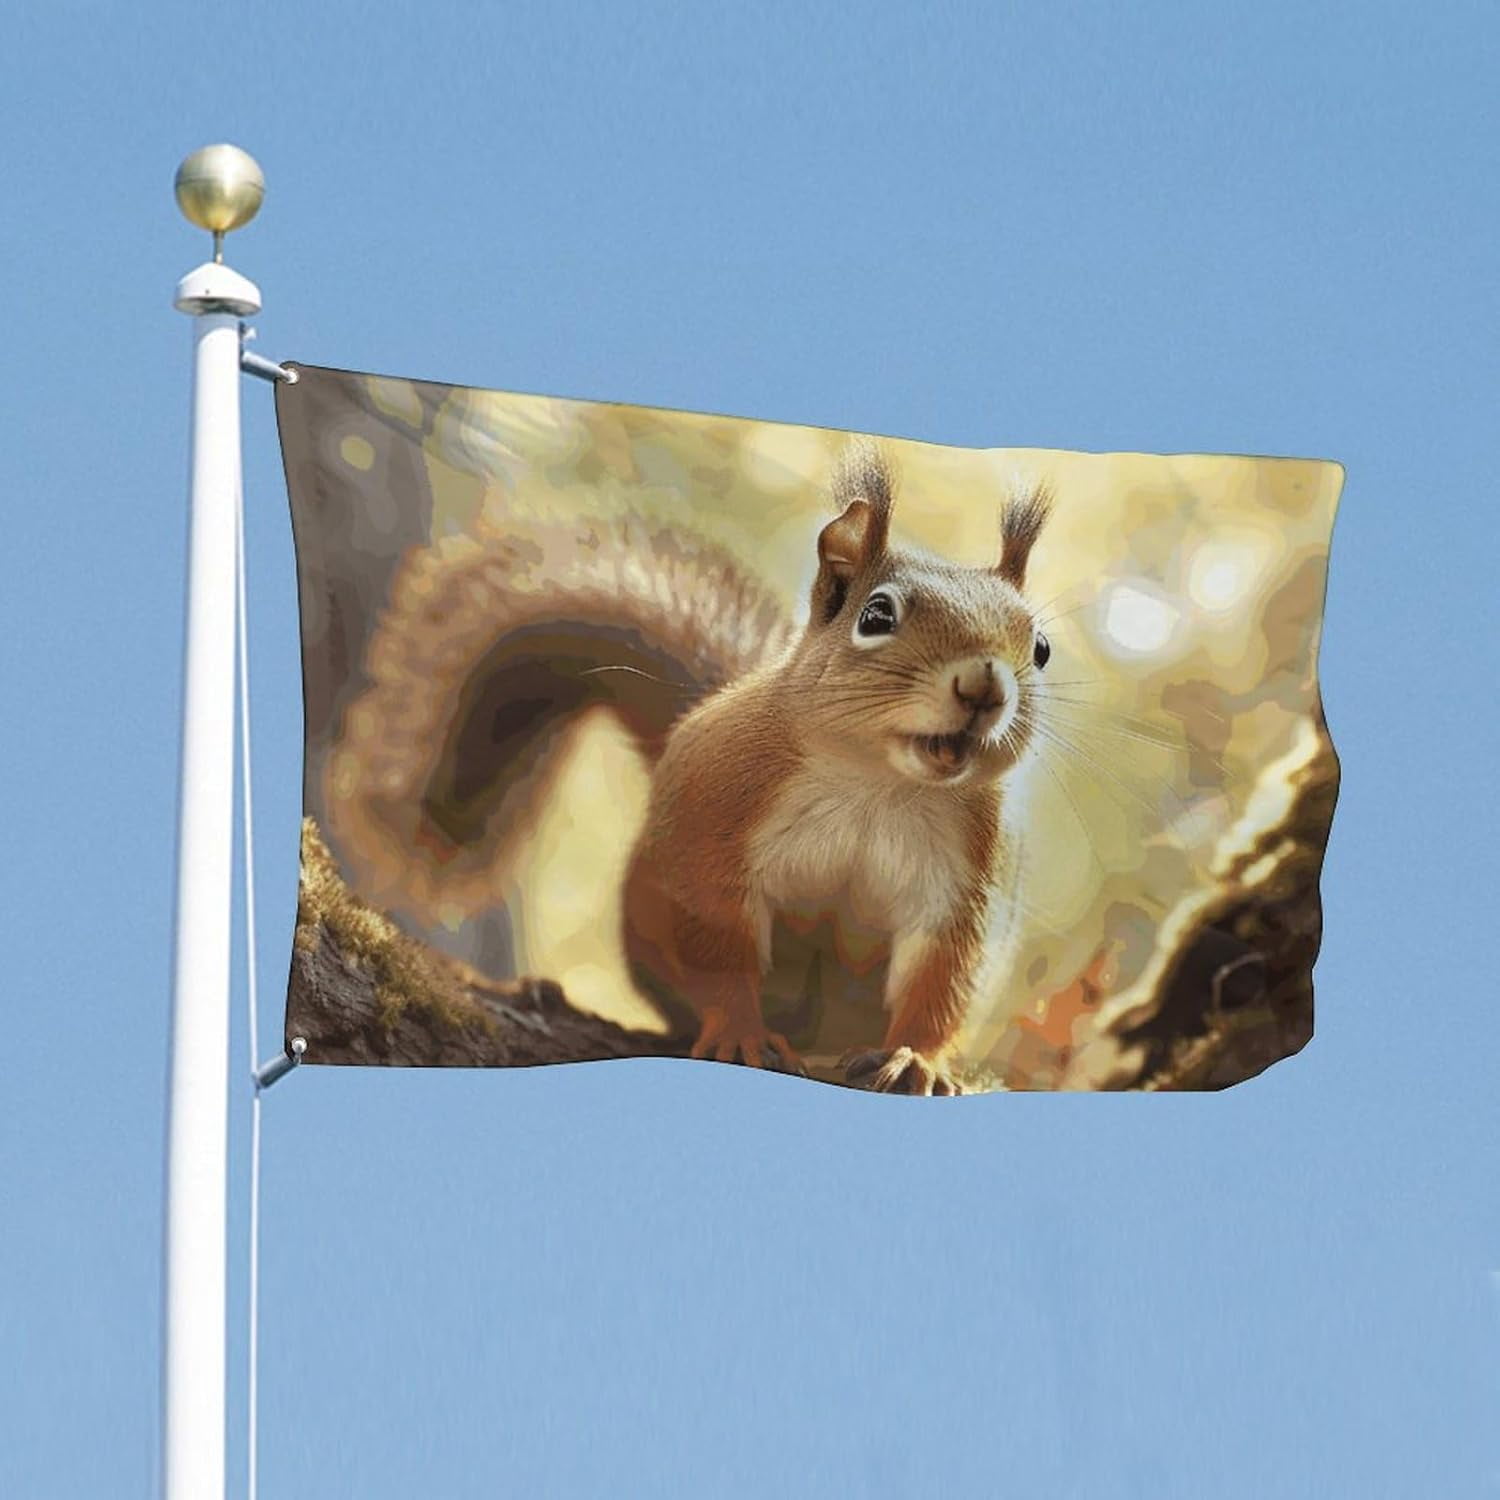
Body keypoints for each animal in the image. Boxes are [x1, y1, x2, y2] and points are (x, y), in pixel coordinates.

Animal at [339, 441, 1052, 1094]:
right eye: (877, 615)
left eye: (1040, 647)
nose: (985, 688)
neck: (874, 780)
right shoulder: (720, 814)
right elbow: (719, 944)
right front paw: (739, 1031)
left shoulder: (961, 871)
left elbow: (940, 975)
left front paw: (915, 1058)